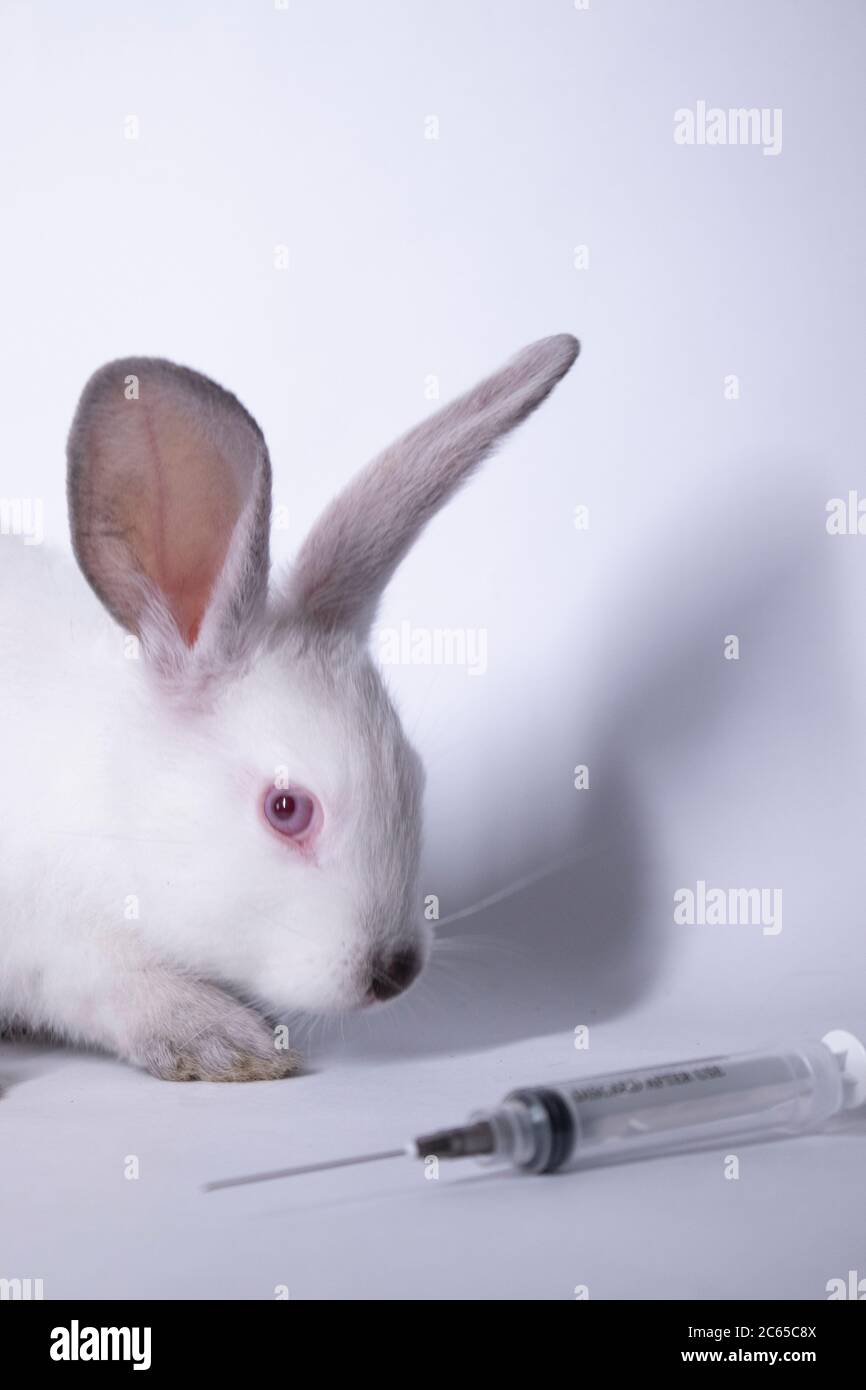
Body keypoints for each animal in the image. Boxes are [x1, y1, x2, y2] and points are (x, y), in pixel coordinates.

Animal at [0, 333, 579, 1080]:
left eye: (416, 777)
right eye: (286, 809)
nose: (394, 972)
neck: (113, 802)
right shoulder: (63, 945)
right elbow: (123, 990)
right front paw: (226, 1045)